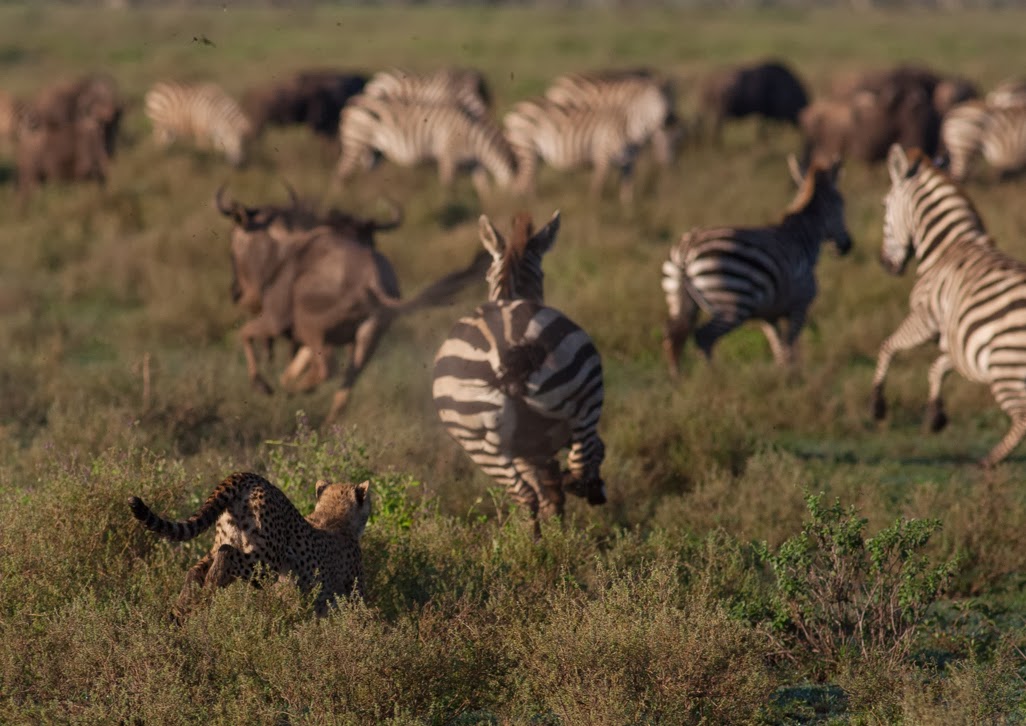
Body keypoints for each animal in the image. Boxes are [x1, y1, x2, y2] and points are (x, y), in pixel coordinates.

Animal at [129, 471, 370, 619]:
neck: (333, 516)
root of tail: (247, 476)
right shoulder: (346, 593)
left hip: (224, 542)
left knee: (195, 569)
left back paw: (180, 611)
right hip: (266, 563)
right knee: (226, 554)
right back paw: (206, 594)